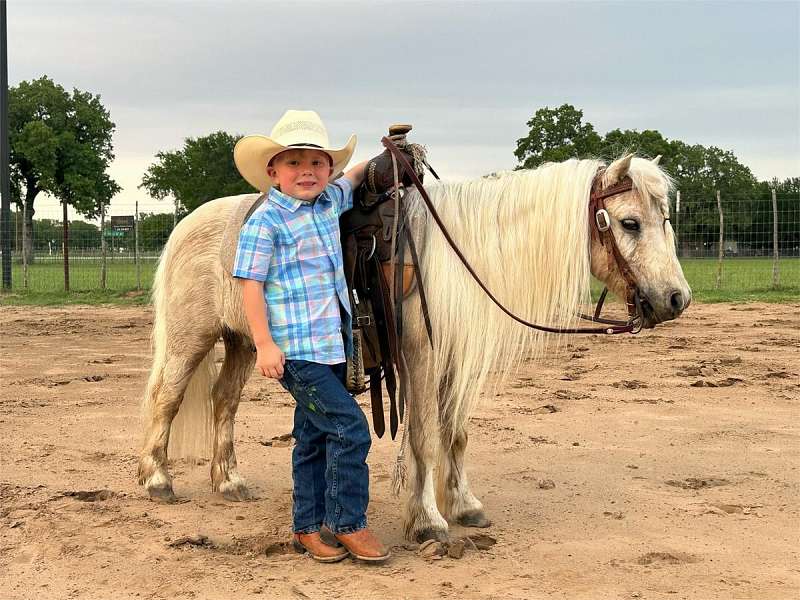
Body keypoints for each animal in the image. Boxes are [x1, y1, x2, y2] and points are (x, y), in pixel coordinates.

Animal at [136, 153, 691, 543]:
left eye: (665, 220)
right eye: (629, 223)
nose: (676, 299)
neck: (457, 256)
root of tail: (186, 223)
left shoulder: (453, 362)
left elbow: (456, 435)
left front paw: (464, 505)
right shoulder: (420, 359)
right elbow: (425, 438)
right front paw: (428, 521)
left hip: (243, 344)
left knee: (224, 401)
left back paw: (229, 482)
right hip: (190, 340)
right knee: (165, 399)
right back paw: (158, 480)